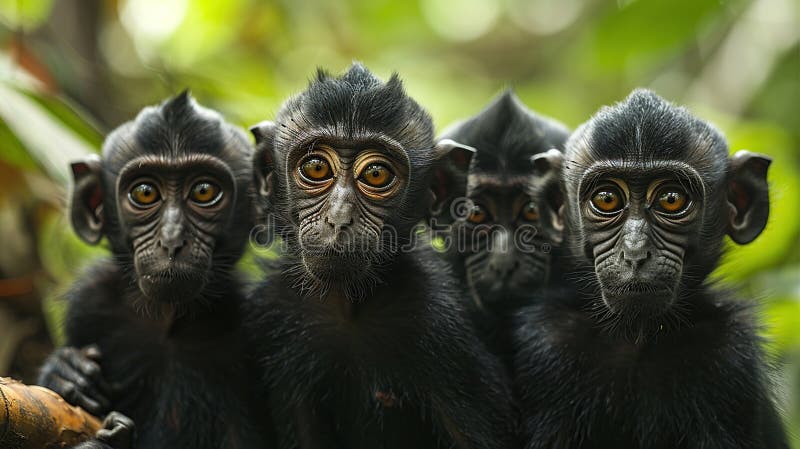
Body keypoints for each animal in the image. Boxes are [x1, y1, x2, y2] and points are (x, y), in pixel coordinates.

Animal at [247, 63, 517, 449]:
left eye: (376, 174)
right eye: (316, 168)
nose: (339, 218)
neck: (349, 307)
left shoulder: (438, 321)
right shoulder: (273, 313)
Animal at [512, 89, 789, 449]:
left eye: (671, 199)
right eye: (606, 198)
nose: (635, 252)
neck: (637, 335)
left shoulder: (731, 355)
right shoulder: (548, 344)